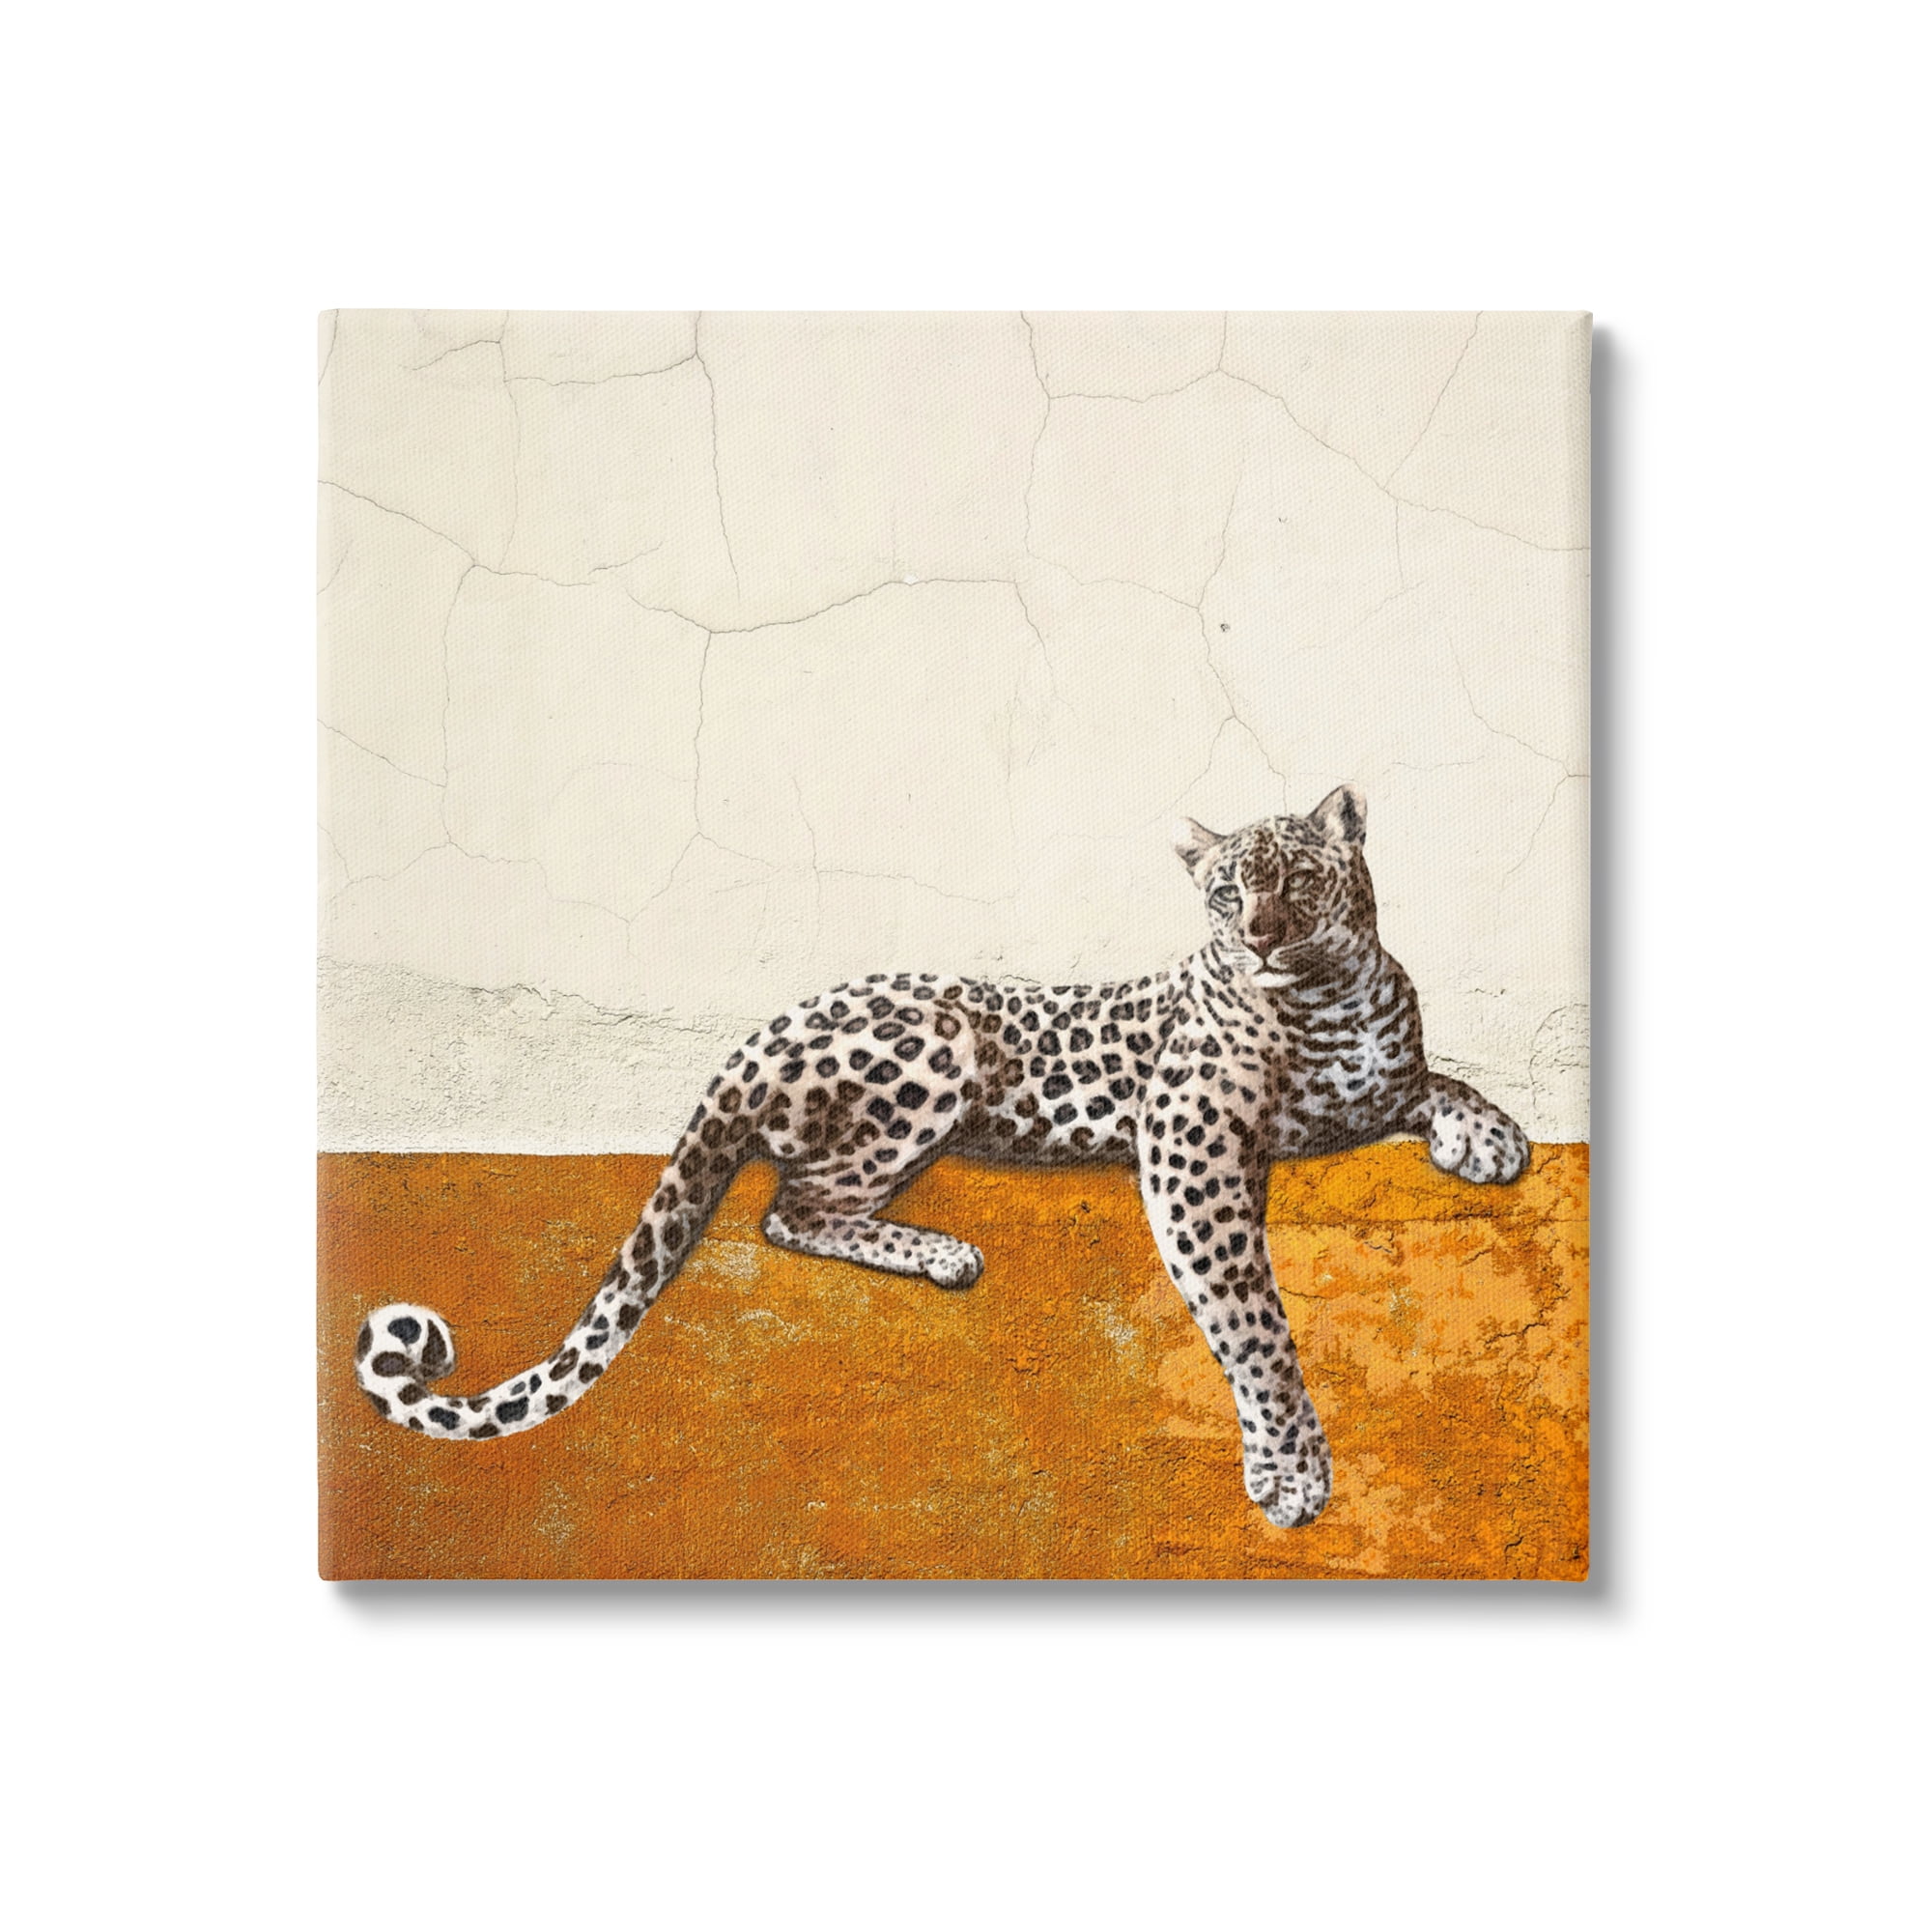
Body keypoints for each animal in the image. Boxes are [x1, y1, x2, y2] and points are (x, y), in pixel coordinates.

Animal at [354, 786, 1529, 1529]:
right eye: (1224, 893)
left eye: (1294, 880)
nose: (1259, 937)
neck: (1334, 994)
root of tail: (757, 1031)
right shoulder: (1190, 1144)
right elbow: (1253, 1321)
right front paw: (1288, 1468)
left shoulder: (1368, 1084)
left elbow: (1430, 1079)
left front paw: (1491, 1133)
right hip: (938, 1049)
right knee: (793, 1208)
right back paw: (942, 1253)